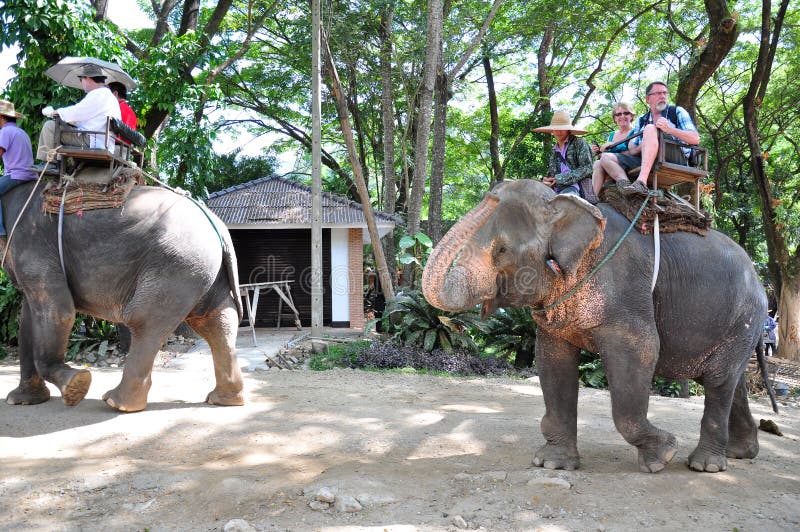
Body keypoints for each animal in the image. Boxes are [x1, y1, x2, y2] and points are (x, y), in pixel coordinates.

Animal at [2, 180, 244, 412]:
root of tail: (218, 225)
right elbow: (27, 321)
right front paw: (22, 401)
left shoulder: (33, 243)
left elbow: (59, 312)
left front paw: (76, 386)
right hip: (202, 271)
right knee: (215, 321)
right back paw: (224, 400)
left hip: (177, 265)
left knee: (143, 321)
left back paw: (116, 403)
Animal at [422, 179, 769, 473]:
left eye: (502, 250)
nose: (494, 192)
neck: (568, 206)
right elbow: (552, 361)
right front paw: (553, 464)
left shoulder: (625, 289)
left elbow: (643, 349)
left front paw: (663, 455)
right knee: (729, 380)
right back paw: (741, 453)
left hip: (744, 317)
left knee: (718, 380)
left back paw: (705, 466)